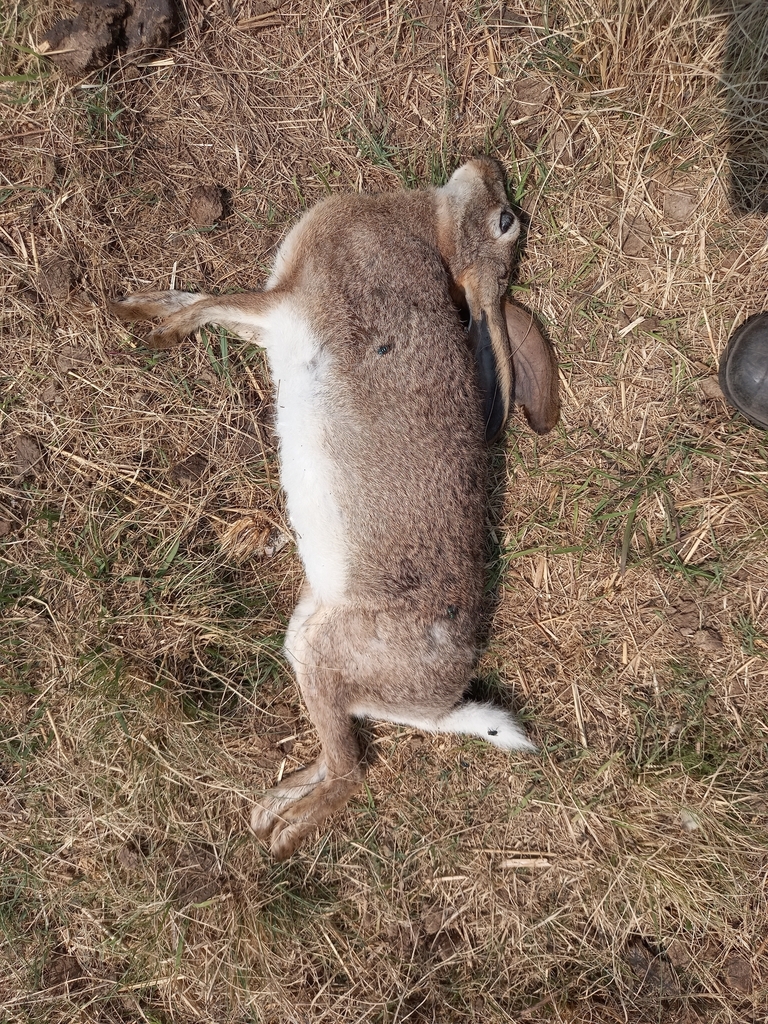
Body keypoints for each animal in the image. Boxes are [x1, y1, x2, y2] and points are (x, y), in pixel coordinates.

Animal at [110, 157, 560, 859]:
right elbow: (205, 302)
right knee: (339, 752)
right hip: (308, 646)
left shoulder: (286, 300)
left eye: (506, 220)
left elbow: (213, 304)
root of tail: (436, 704)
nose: (488, 166)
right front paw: (142, 308)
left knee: (353, 771)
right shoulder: (272, 309)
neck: (433, 232)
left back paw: (281, 835)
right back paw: (273, 804)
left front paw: (151, 329)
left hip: (324, 650)